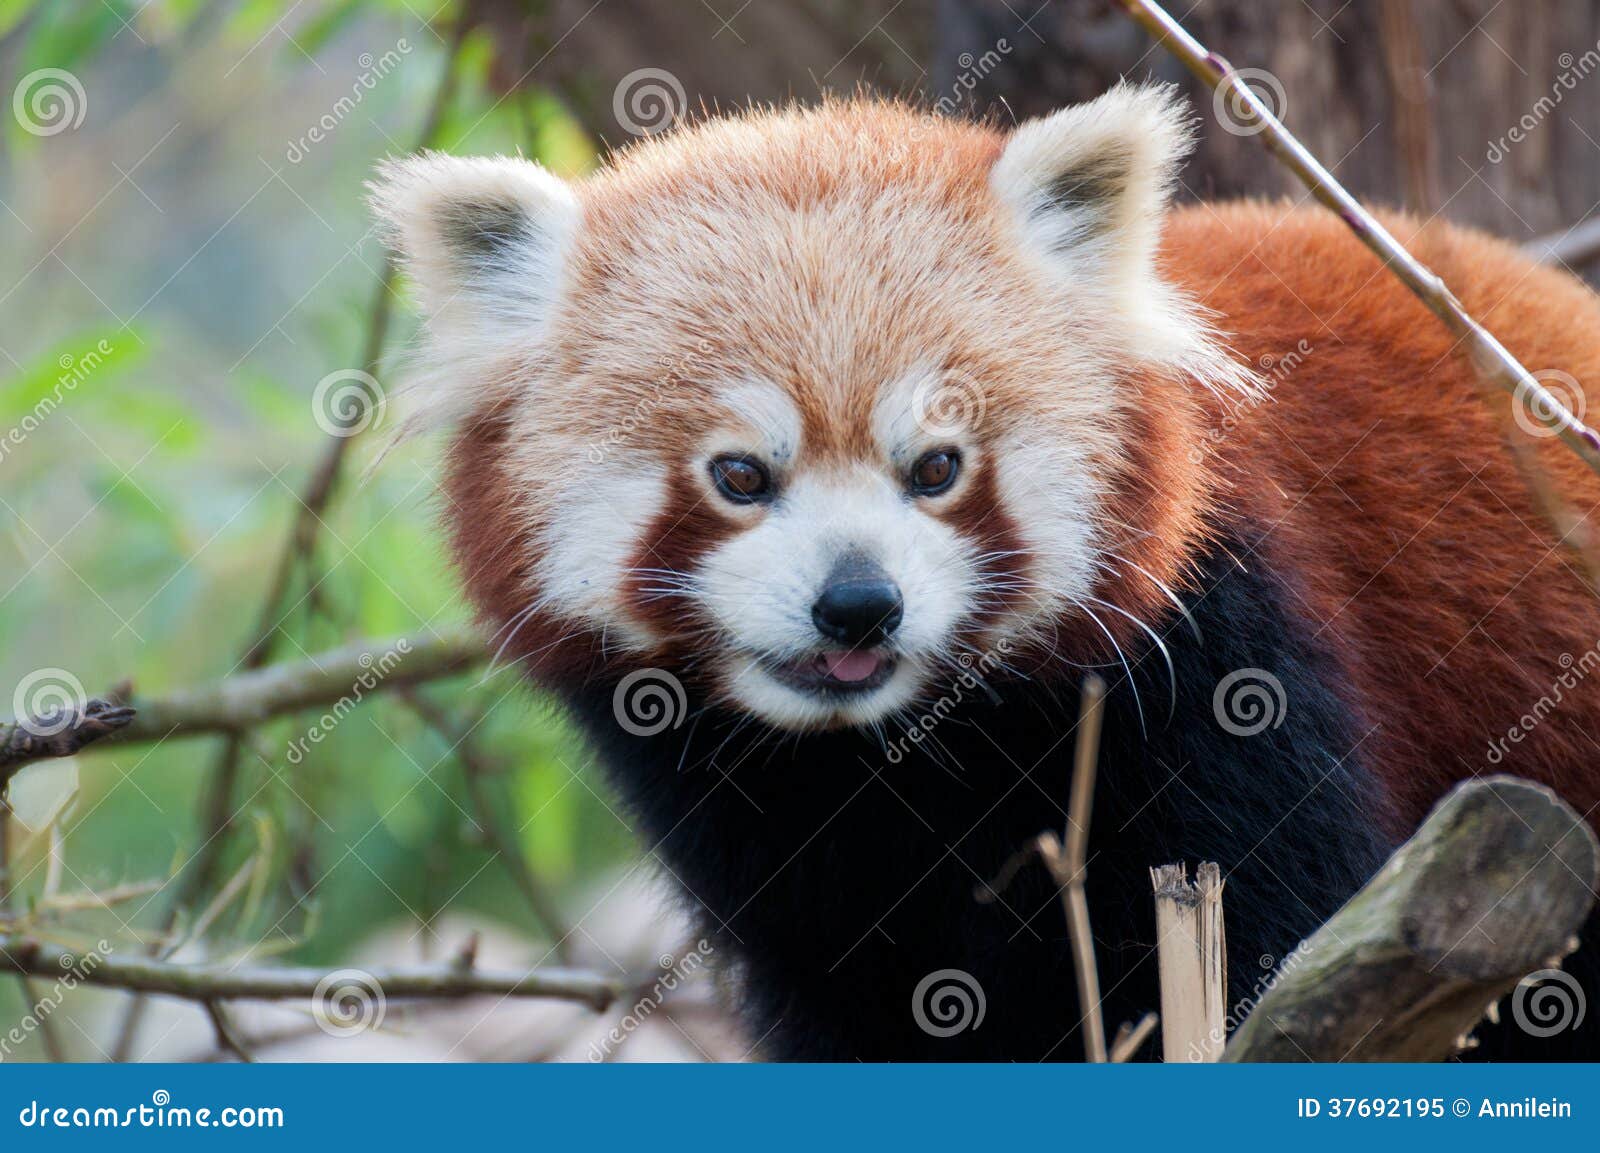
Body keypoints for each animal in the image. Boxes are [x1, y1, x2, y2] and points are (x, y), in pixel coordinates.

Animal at [371, 85, 1600, 1060]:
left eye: (936, 466)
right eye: (738, 475)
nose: (858, 603)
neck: (906, 757)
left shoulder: (1229, 657)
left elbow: (1274, 918)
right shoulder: (763, 834)